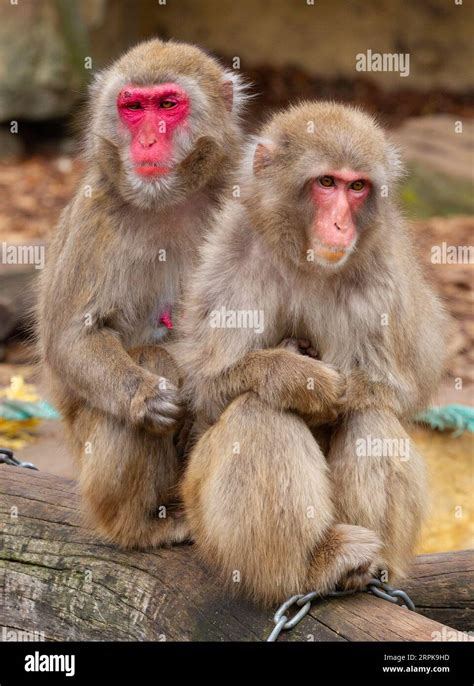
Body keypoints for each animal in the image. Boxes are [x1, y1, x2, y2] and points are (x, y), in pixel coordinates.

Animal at [36, 39, 247, 549]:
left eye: (168, 105)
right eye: (133, 107)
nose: (148, 141)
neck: (168, 202)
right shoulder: (96, 216)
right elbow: (72, 339)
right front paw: (145, 398)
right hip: (93, 473)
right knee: (152, 358)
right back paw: (144, 524)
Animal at [177, 102, 448, 605]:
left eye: (357, 186)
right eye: (326, 182)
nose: (340, 224)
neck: (305, 260)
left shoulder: (383, 274)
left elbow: (399, 388)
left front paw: (331, 391)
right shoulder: (233, 254)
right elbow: (205, 388)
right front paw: (296, 376)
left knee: (371, 417)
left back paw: (366, 570)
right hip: (203, 519)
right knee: (258, 412)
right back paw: (311, 563)